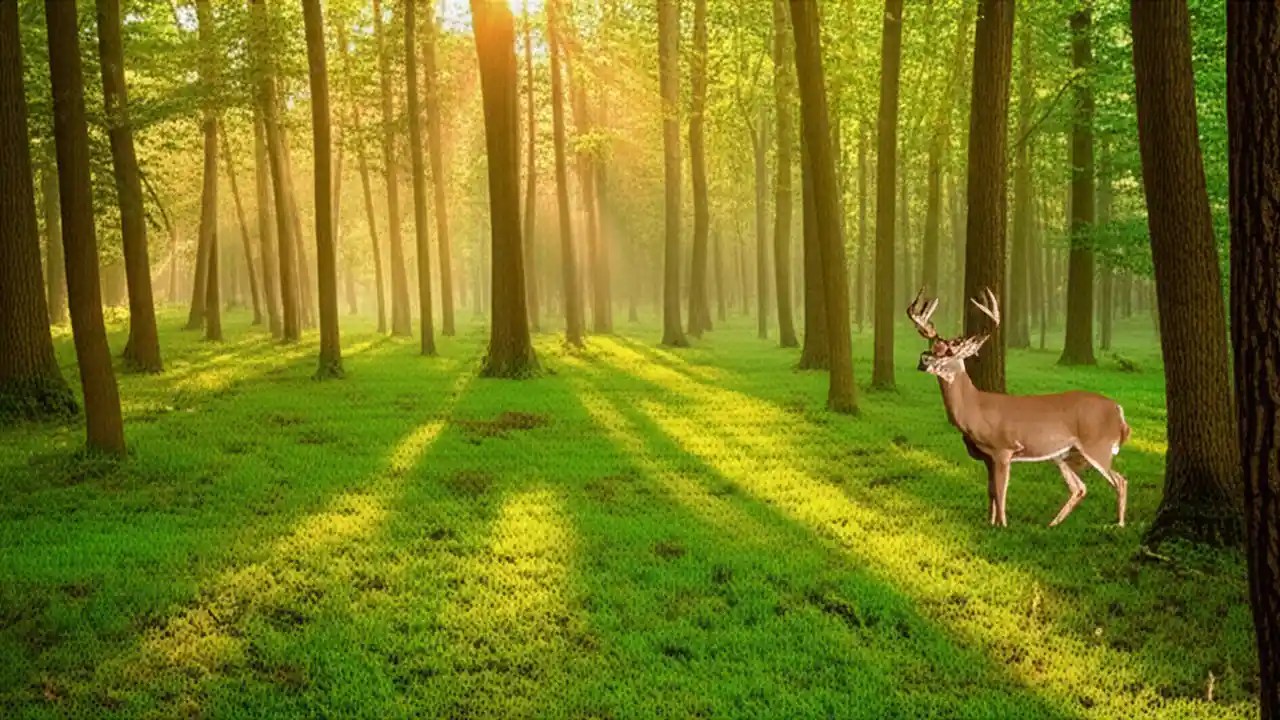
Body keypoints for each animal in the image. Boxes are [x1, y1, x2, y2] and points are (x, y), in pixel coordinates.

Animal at [907, 288, 1130, 528]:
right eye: (933, 348)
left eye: (949, 353)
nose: (923, 360)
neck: (975, 408)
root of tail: (1119, 411)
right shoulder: (988, 457)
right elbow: (991, 492)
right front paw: (990, 523)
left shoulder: (1004, 449)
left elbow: (1001, 491)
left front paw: (1003, 526)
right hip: (1065, 454)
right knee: (1080, 488)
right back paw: (1052, 524)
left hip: (1098, 445)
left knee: (1120, 480)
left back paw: (1119, 524)